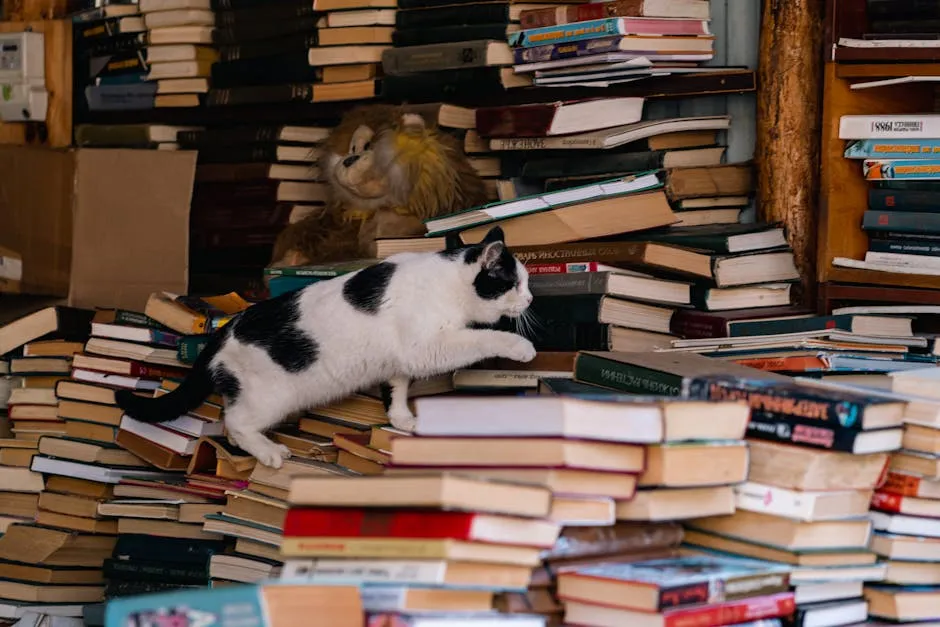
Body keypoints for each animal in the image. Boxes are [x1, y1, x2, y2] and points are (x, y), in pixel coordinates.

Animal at [115, 228, 536, 468]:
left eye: (526, 283)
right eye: (515, 284)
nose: (531, 299)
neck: (450, 282)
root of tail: (226, 327)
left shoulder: (400, 359)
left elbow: (397, 386)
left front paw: (402, 420)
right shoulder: (427, 347)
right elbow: (480, 337)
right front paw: (519, 346)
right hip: (270, 397)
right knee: (235, 422)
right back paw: (269, 453)